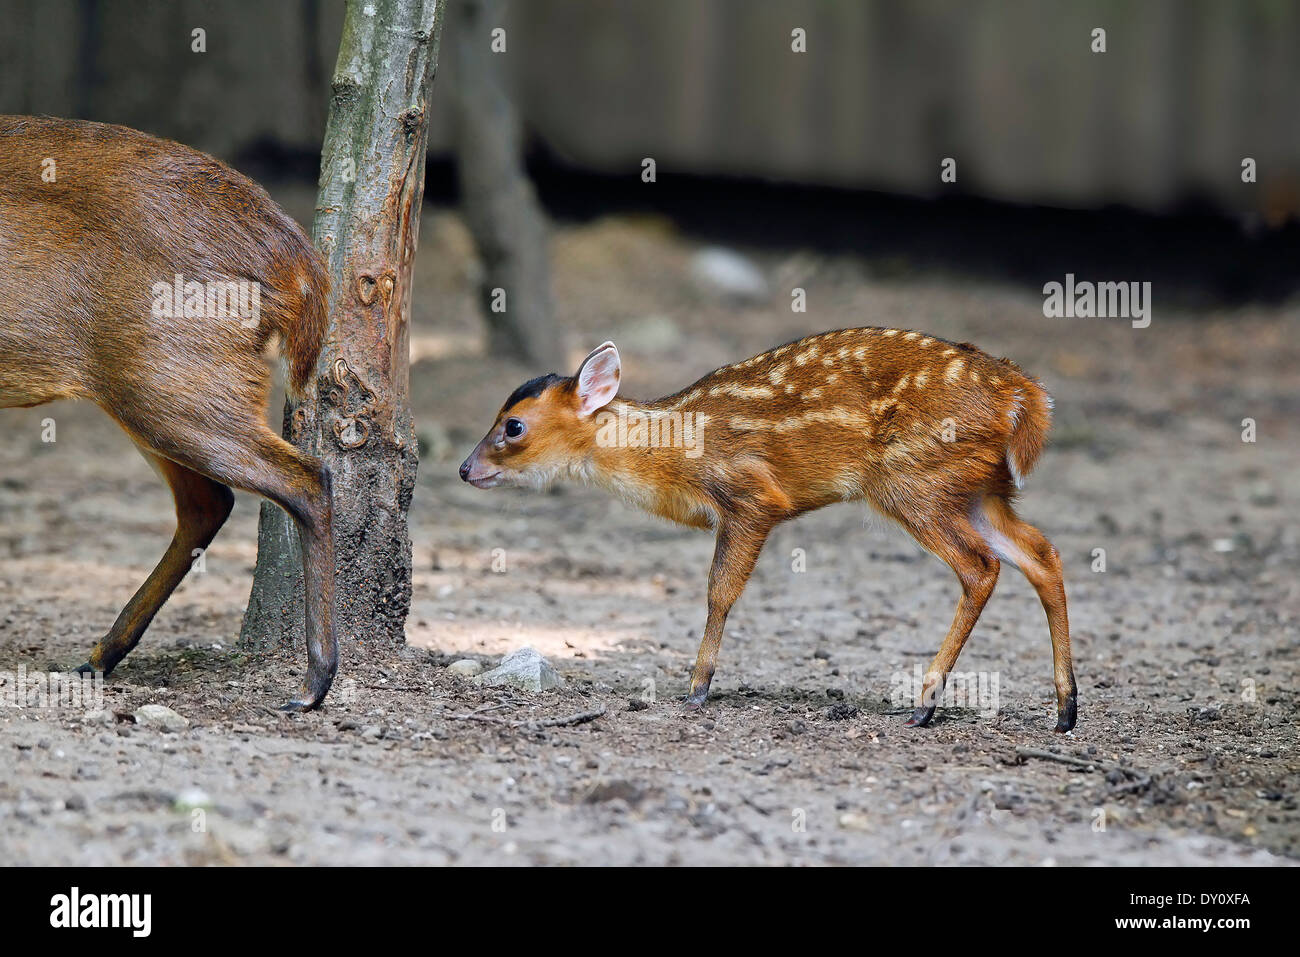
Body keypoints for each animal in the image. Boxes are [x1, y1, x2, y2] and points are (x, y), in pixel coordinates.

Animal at [0, 115, 337, 711]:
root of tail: (295, 258)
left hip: (170, 379)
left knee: (304, 478)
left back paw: (312, 683)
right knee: (209, 502)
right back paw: (98, 658)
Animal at [460, 331, 1078, 732]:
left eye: (512, 427)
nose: (465, 469)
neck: (669, 454)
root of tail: (1022, 394)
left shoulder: (750, 495)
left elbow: (719, 591)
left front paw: (697, 689)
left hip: (914, 479)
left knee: (981, 566)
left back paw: (924, 704)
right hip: (979, 488)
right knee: (1042, 552)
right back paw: (1066, 710)